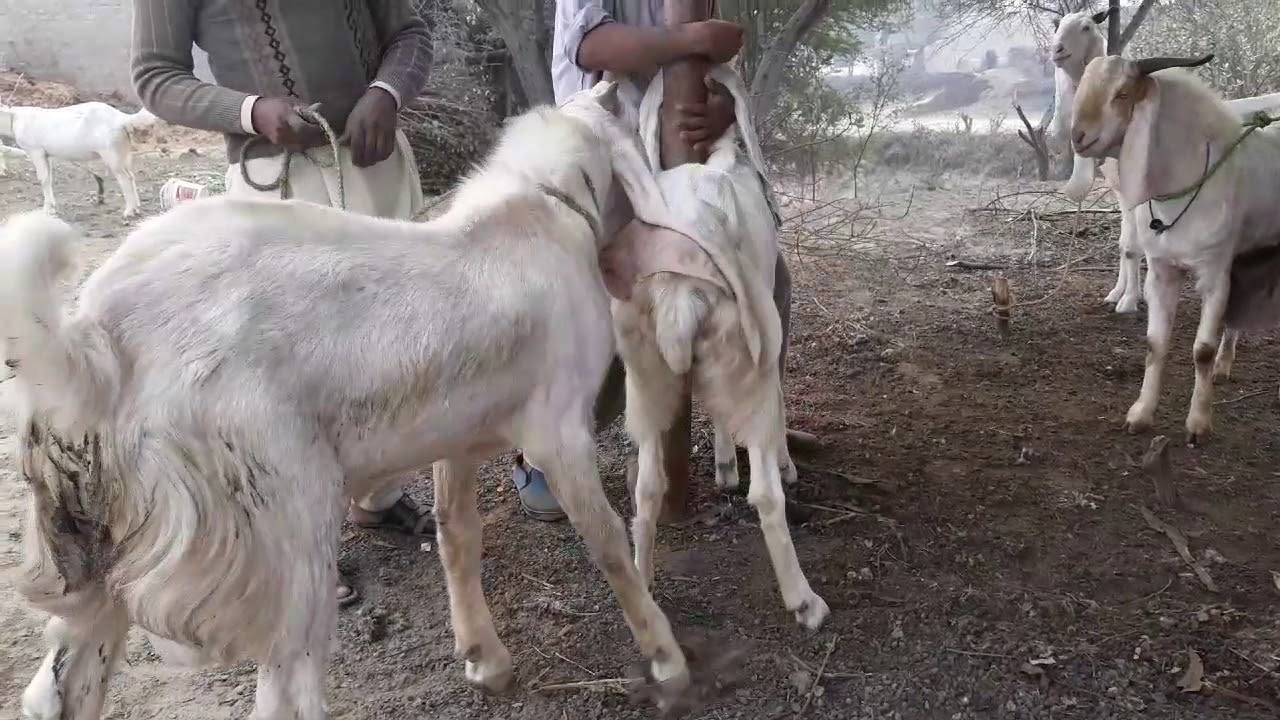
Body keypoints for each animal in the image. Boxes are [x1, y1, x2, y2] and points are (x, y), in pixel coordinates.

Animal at [0, 101, 157, 219]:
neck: (14, 118)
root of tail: (122, 118)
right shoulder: (45, 154)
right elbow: (49, 178)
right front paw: (53, 208)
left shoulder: (35, 151)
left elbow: (43, 179)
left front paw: (46, 210)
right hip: (123, 151)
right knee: (131, 176)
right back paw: (137, 208)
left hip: (111, 152)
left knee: (124, 178)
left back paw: (128, 212)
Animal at [601, 65, 828, 630]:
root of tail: (679, 293)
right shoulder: (767, 333)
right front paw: (776, 466)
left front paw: (723, 467)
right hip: (750, 351)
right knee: (763, 492)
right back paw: (805, 602)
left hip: (647, 375)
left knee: (647, 485)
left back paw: (646, 585)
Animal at [1072, 53, 1280, 444]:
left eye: (1122, 94)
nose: (1078, 136)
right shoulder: (1162, 270)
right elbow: (1155, 343)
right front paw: (1140, 414)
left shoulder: (1213, 274)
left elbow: (1201, 350)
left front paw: (1198, 423)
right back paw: (1224, 367)